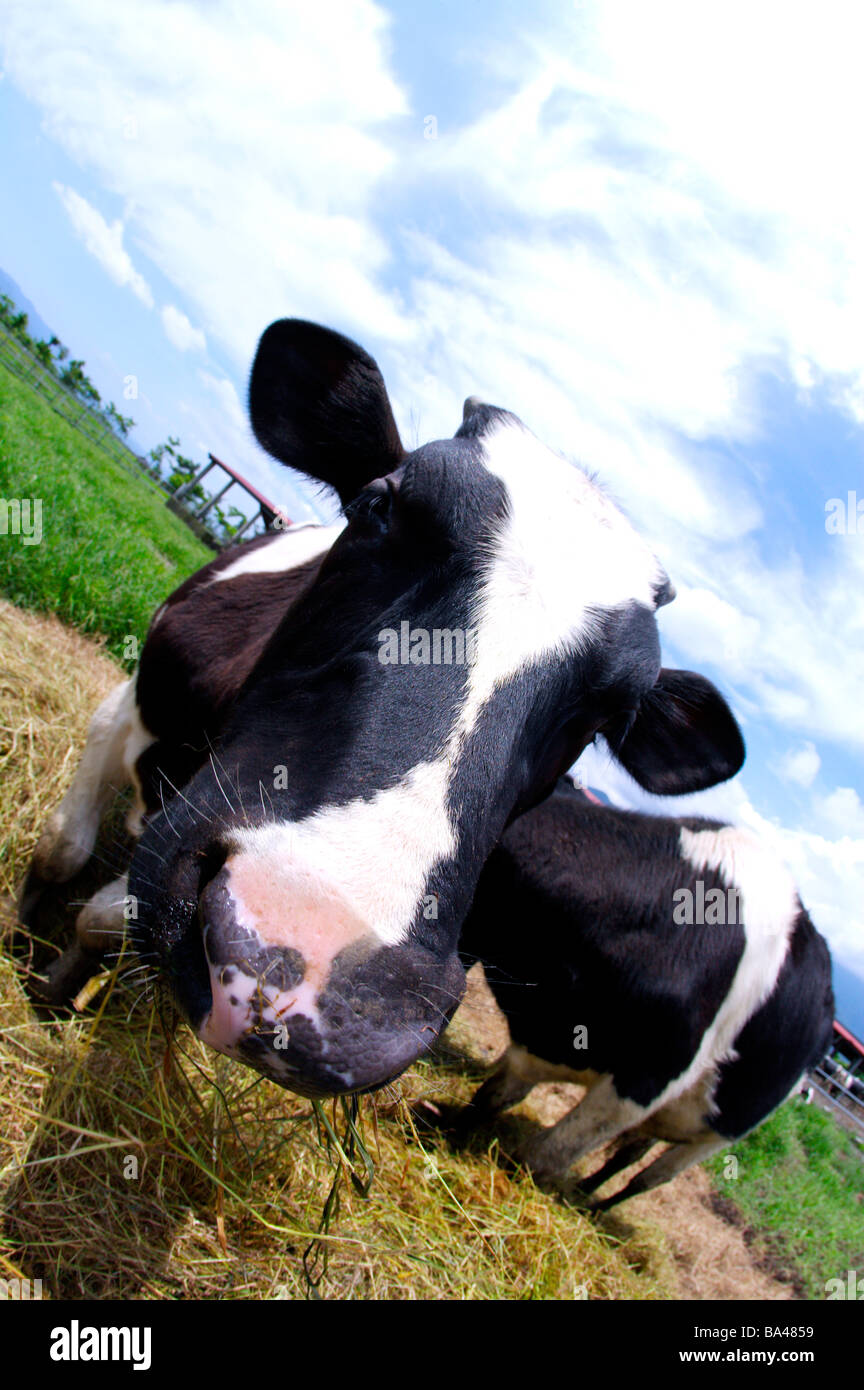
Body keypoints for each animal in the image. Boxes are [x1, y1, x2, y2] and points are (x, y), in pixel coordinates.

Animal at [21, 318, 746, 1101]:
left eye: (612, 716)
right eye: (377, 505)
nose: (303, 957)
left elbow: (109, 913)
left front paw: (59, 985)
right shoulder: (141, 691)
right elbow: (64, 846)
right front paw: (28, 944)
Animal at [456, 777, 834, 1207]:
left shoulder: (642, 1087)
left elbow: (540, 1156)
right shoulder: (539, 1041)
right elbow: (491, 1097)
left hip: (717, 1134)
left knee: (647, 1176)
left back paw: (599, 1206)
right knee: (630, 1153)